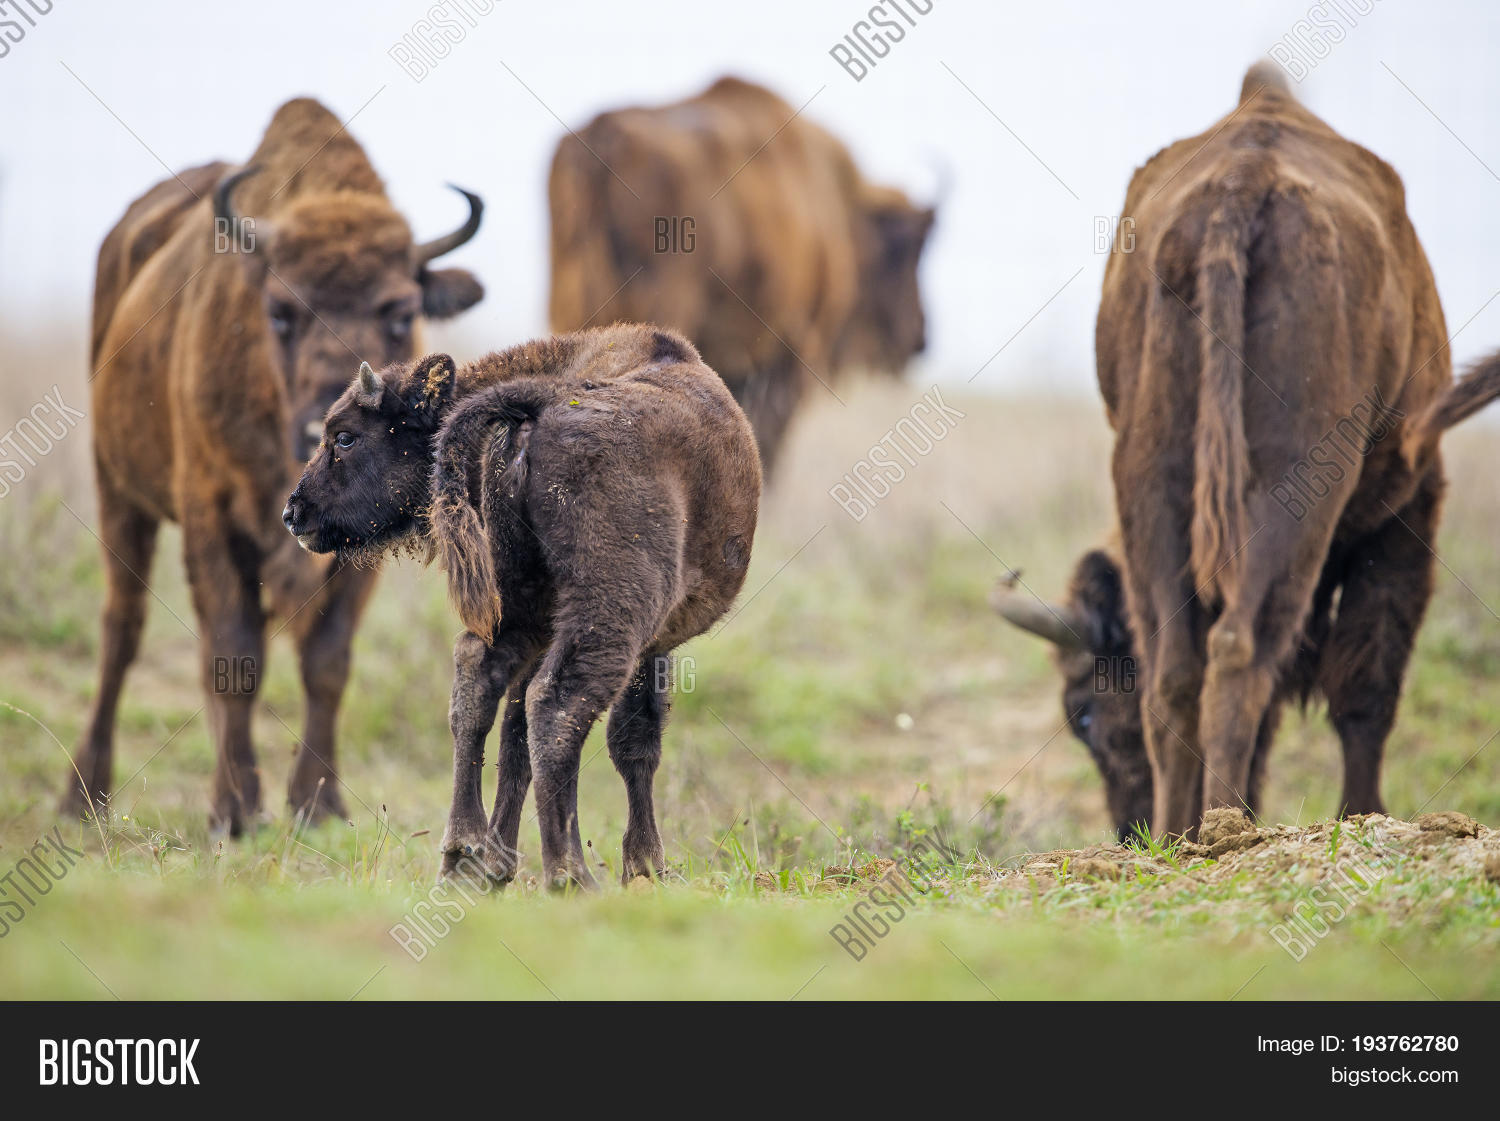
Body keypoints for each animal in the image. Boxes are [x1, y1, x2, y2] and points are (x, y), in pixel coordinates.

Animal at [72, 98, 485, 833]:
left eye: (401, 311)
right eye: (280, 311)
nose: (326, 420)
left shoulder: (360, 548)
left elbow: (326, 660)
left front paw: (317, 804)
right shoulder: (212, 518)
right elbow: (233, 655)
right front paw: (234, 809)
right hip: (118, 489)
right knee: (121, 629)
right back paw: (82, 794)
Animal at [995, 62, 1500, 839]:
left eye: (1081, 715)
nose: (1128, 826)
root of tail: (1241, 187)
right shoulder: (1410, 504)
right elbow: (1367, 688)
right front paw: (1364, 814)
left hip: (1154, 478)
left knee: (1178, 673)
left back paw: (1185, 836)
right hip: (1297, 492)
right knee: (1244, 654)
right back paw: (1225, 829)